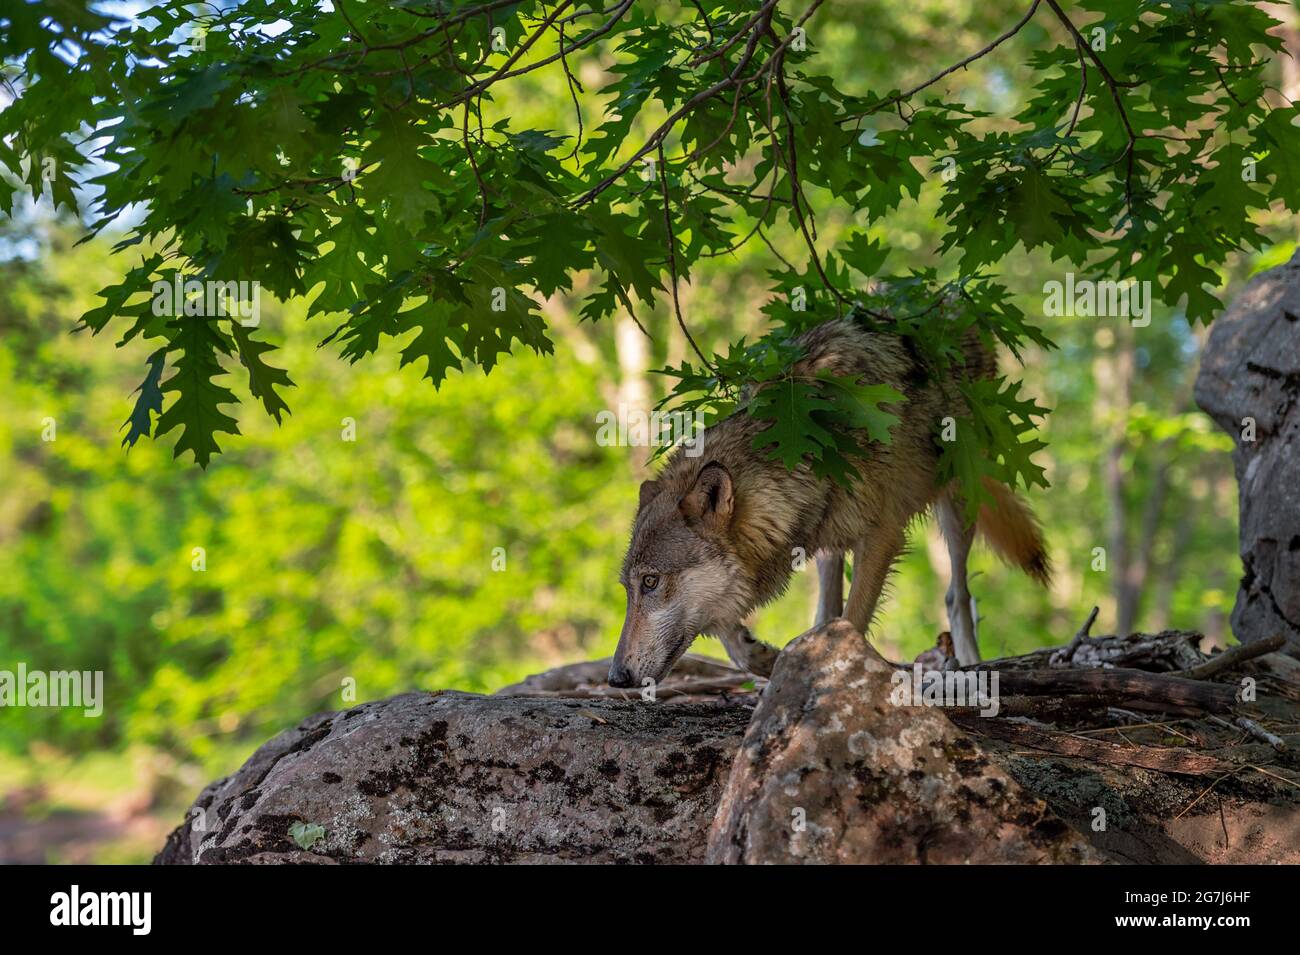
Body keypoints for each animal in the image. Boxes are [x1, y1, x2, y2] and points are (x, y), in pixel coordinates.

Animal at [608, 317, 1049, 688]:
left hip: (959, 501)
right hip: (830, 543)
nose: (616, 677)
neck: (805, 448)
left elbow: (852, 620)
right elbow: (735, 636)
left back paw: (969, 663)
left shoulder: (882, 537)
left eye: (651, 582)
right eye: (629, 589)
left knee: (958, 595)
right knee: (828, 607)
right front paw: (764, 656)